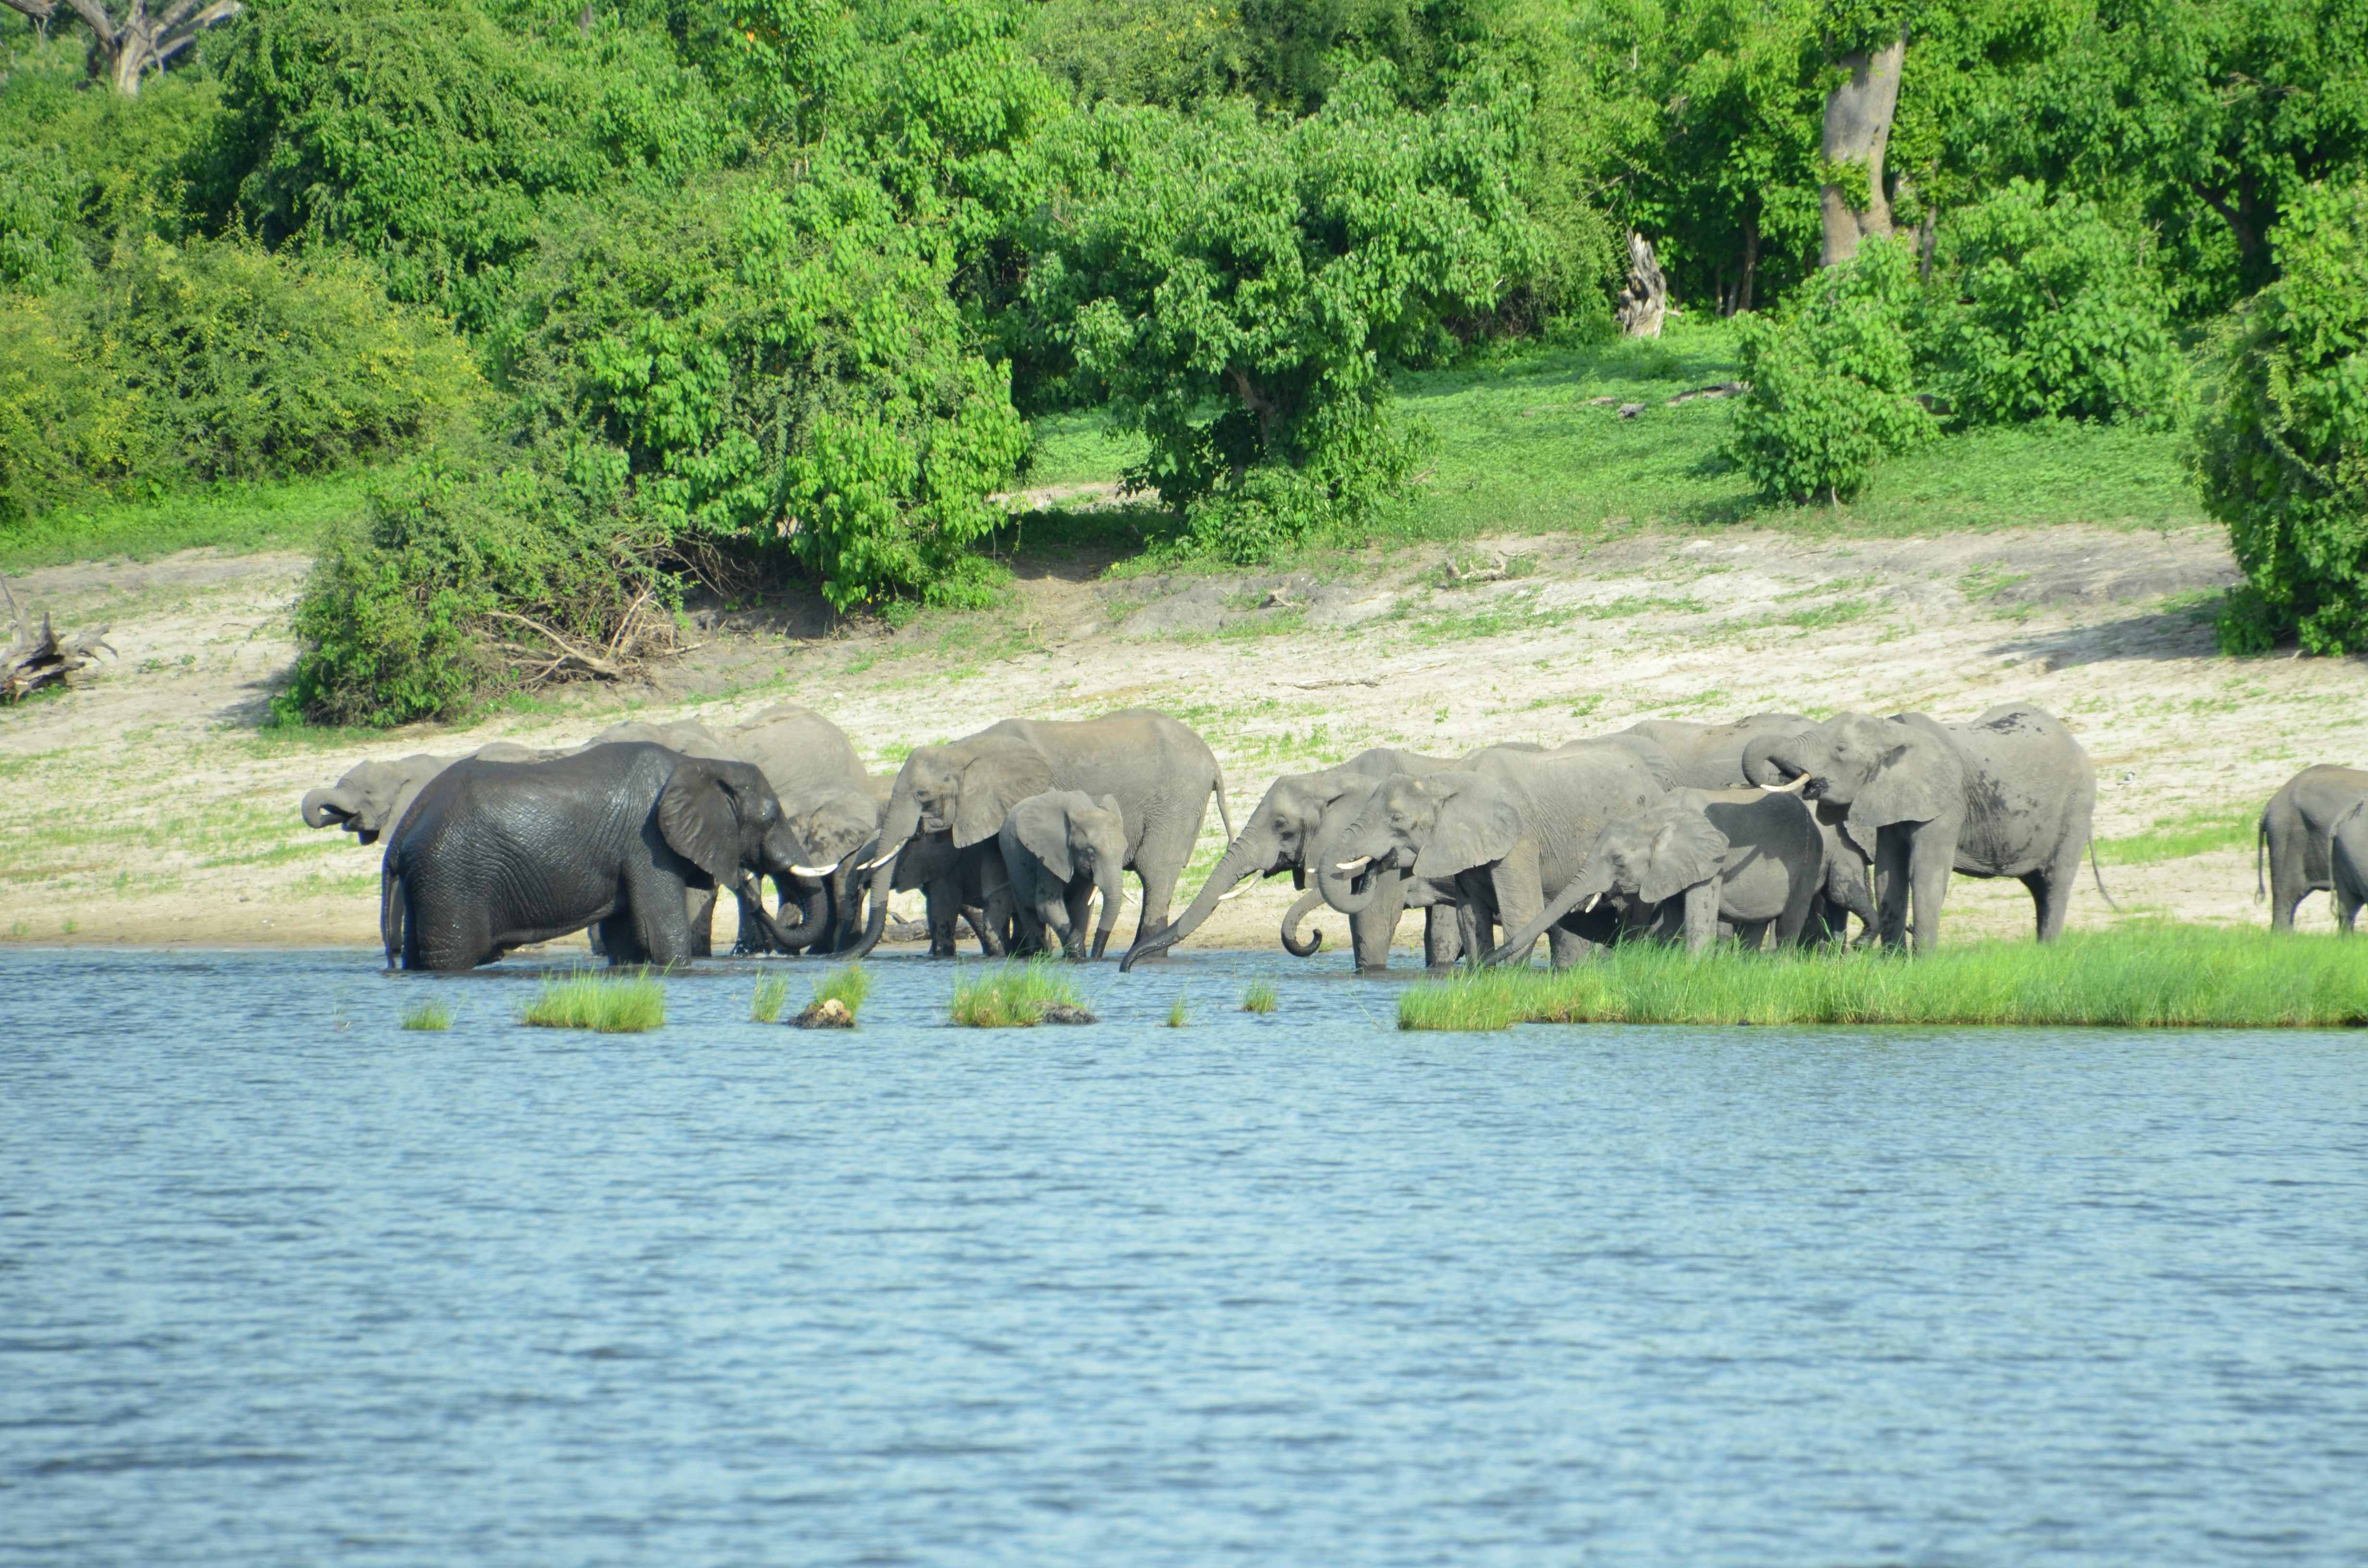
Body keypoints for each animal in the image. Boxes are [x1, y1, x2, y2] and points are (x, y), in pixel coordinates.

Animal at [380, 742, 804, 972]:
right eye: (771, 819)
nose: (751, 888)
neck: (703, 763)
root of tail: (402, 830)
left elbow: (628, 940)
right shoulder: (647, 845)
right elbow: (661, 934)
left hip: (430, 878)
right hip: (451, 877)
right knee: (453, 954)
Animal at [1000, 791, 1129, 959]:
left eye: (1124, 850)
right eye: (1091, 853)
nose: (1096, 957)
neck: (1084, 810)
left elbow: (1082, 907)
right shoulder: (1047, 855)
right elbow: (1049, 908)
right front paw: (1078, 957)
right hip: (1013, 868)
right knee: (1029, 914)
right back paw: (1039, 956)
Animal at [1319, 743, 1669, 968]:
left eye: (1397, 820)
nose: (1373, 867)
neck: (1446, 777)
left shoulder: (1520, 840)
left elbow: (1523, 913)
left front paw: (1511, 980)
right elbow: (1471, 918)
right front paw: (1479, 975)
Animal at [1485, 788, 1835, 962]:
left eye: (1617, 859)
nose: (1479, 969)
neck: (1655, 817)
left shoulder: (1711, 862)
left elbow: (1697, 921)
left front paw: (1695, 969)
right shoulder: (1671, 869)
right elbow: (1673, 920)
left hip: (1810, 859)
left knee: (1790, 922)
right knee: (1754, 927)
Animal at [1742, 703, 2098, 950]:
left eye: (1840, 749)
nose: (1858, 945)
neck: (1893, 732)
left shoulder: (1946, 804)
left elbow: (1924, 873)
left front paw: (1922, 961)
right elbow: (1889, 875)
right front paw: (1892, 962)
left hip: (2077, 804)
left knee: (2056, 881)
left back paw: (2049, 952)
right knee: (2039, 887)